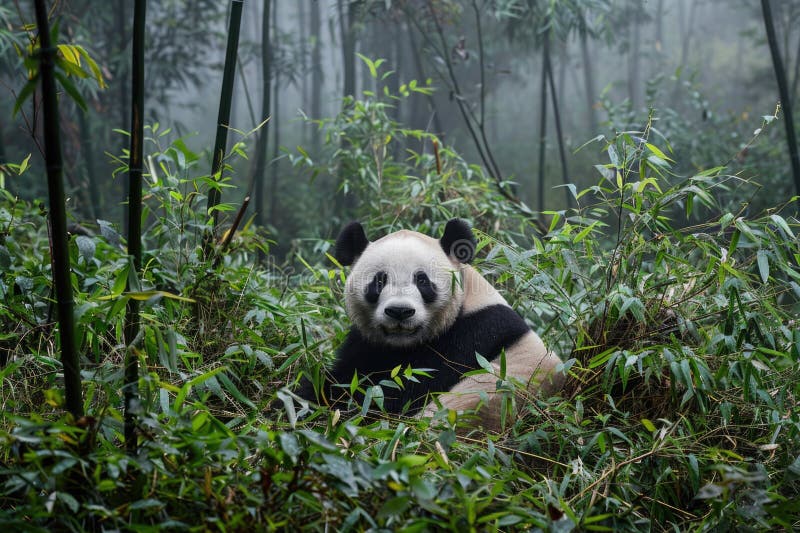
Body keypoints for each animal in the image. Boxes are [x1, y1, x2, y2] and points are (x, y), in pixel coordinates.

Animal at [298, 218, 563, 432]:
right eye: (379, 281)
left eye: (422, 281)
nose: (400, 311)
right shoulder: (367, 342)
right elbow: (346, 376)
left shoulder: (473, 335)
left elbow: (399, 393)